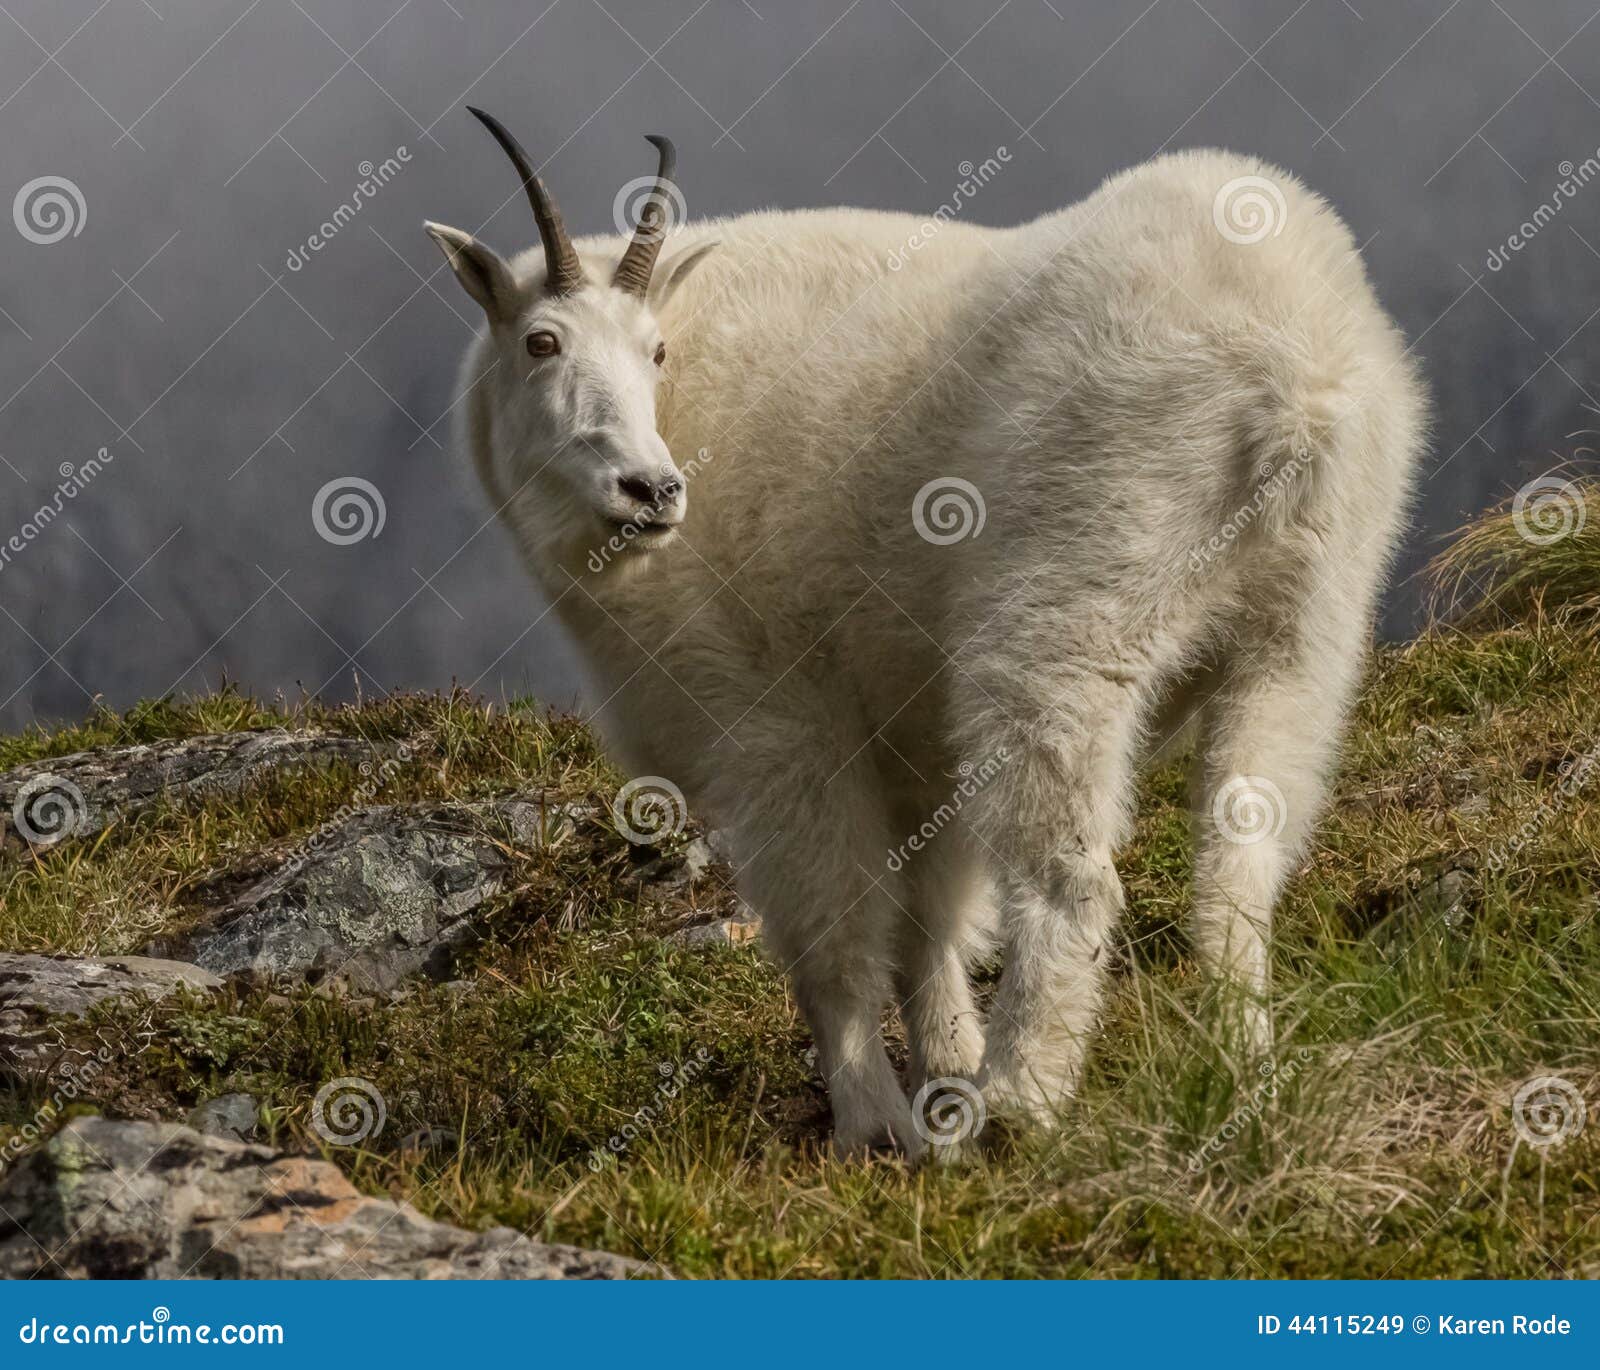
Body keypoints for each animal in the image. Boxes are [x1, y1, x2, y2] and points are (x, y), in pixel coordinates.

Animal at [424, 109, 1427, 1160]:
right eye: (541, 342)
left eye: (655, 352)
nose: (652, 491)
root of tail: (1297, 376)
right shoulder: (909, 740)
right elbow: (929, 922)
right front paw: (941, 1078)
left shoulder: (775, 714)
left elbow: (833, 938)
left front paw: (872, 1125)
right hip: (1303, 633)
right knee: (1240, 862)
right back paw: (1243, 1078)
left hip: (1071, 611)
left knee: (1072, 877)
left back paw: (1018, 1105)